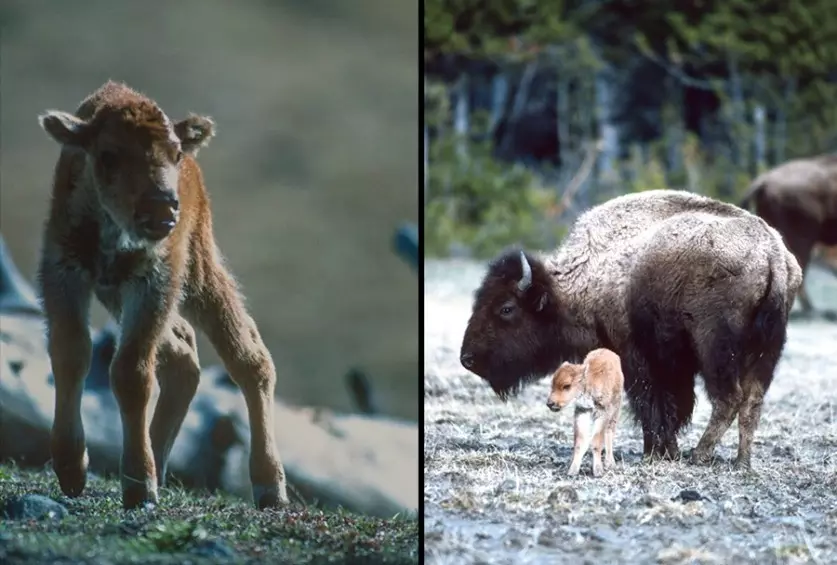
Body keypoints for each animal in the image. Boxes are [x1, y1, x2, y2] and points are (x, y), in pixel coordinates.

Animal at [36, 80, 288, 512]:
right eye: (108, 155)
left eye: (174, 153)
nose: (162, 209)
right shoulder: (64, 271)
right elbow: (71, 355)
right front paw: (72, 471)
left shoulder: (153, 279)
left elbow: (131, 371)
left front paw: (140, 488)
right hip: (121, 294)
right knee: (184, 349)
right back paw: (156, 458)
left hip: (198, 267)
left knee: (248, 357)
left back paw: (270, 488)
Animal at [544, 348, 624, 476]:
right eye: (552, 384)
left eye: (567, 386)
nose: (550, 403)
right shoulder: (582, 412)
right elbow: (579, 443)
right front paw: (572, 471)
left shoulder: (602, 413)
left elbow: (597, 442)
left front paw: (598, 471)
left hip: (615, 410)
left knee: (609, 432)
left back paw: (610, 463)